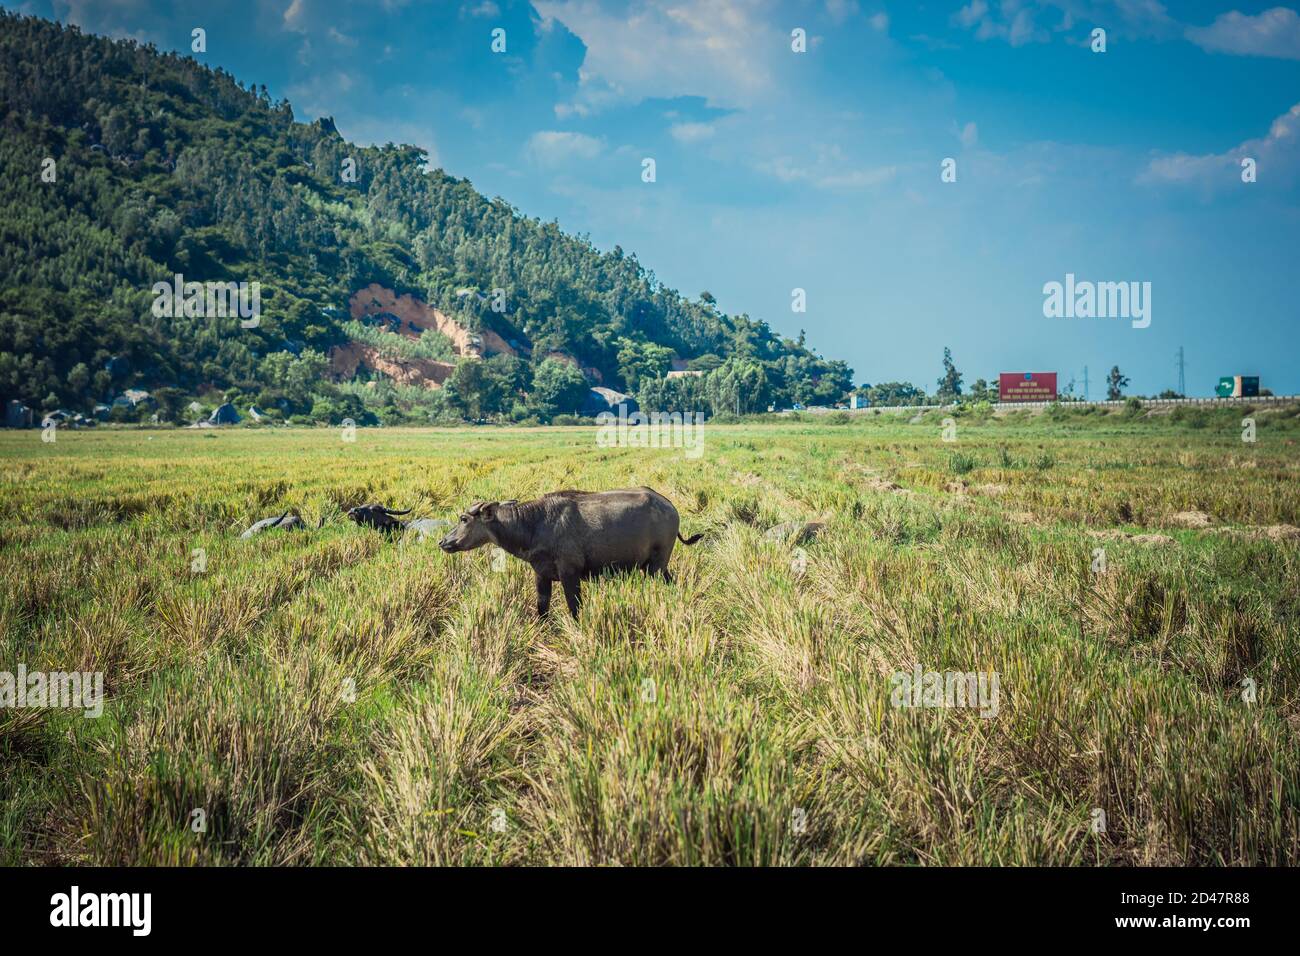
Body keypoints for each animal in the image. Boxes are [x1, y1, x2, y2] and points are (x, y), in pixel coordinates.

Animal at [438, 487, 702, 618]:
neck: (535, 524)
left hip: (656, 566)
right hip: (657, 568)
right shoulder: (541, 575)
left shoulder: (570, 575)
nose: (444, 542)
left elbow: (574, 608)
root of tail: (669, 506)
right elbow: (542, 608)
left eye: (463, 519)